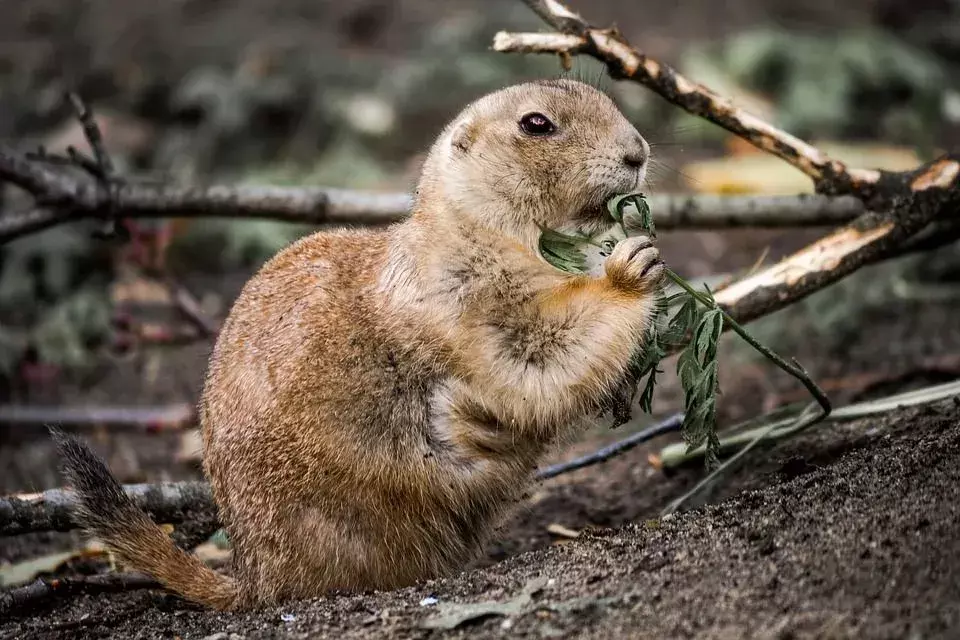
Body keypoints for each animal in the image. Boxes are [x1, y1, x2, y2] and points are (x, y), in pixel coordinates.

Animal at [56, 79, 664, 608]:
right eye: (536, 124)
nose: (638, 151)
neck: (483, 230)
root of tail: (254, 580)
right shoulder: (464, 303)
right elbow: (537, 362)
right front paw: (630, 270)